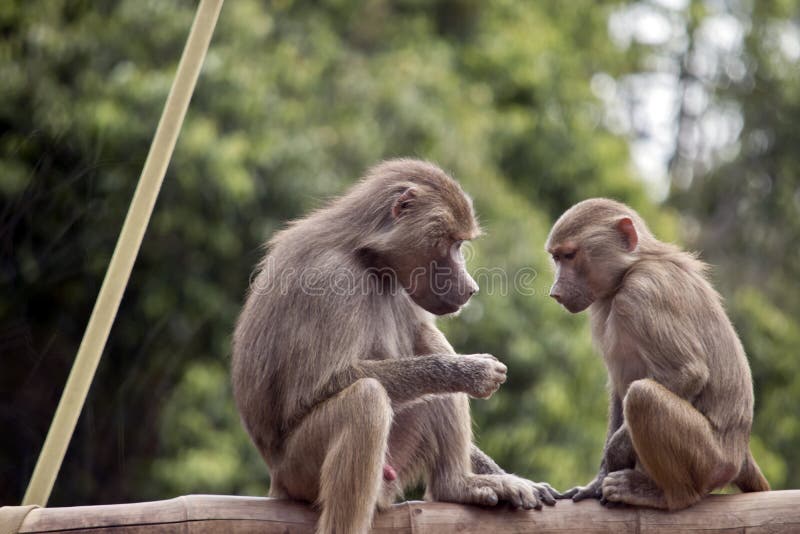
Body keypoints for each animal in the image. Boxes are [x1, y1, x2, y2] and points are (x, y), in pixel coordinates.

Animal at [232, 159, 558, 534]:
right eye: (452, 244)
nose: (471, 288)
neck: (367, 257)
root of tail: (277, 481)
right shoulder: (330, 279)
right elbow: (315, 386)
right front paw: (470, 372)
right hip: (301, 471)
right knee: (367, 401)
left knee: (424, 341)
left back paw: (458, 485)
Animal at [545, 198, 770, 510]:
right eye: (556, 258)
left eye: (569, 255)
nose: (555, 292)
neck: (633, 266)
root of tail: (740, 452)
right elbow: (619, 390)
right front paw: (598, 480)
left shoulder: (642, 295)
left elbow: (687, 373)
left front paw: (615, 455)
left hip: (710, 459)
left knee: (643, 397)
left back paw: (665, 495)